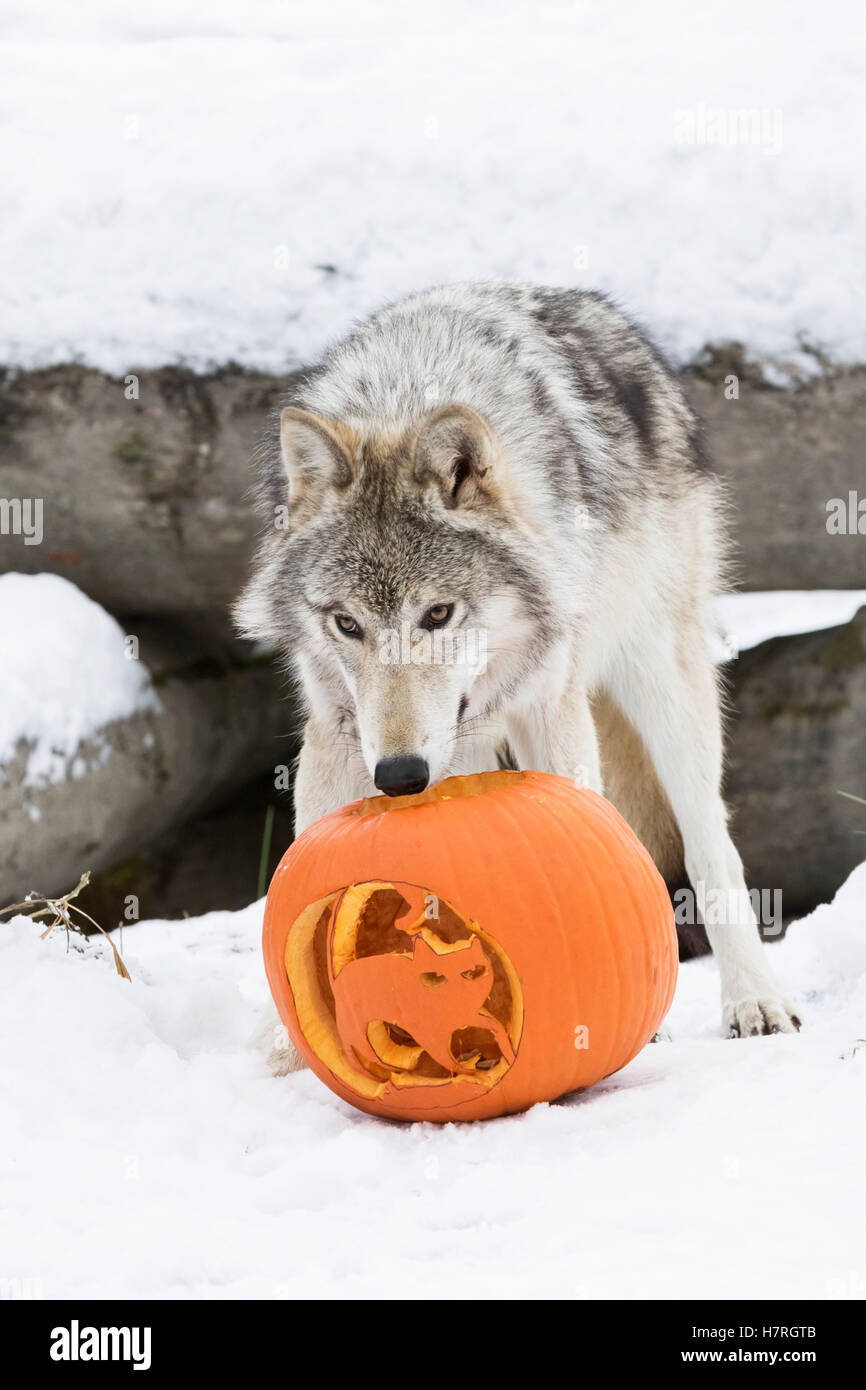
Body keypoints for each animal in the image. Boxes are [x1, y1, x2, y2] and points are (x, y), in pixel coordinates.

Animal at [236, 282, 799, 1074]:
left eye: (438, 613)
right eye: (347, 624)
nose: (400, 776)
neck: (408, 394)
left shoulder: (548, 709)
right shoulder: (338, 728)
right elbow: (301, 864)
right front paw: (286, 1040)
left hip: (662, 683)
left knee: (708, 843)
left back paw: (754, 1000)